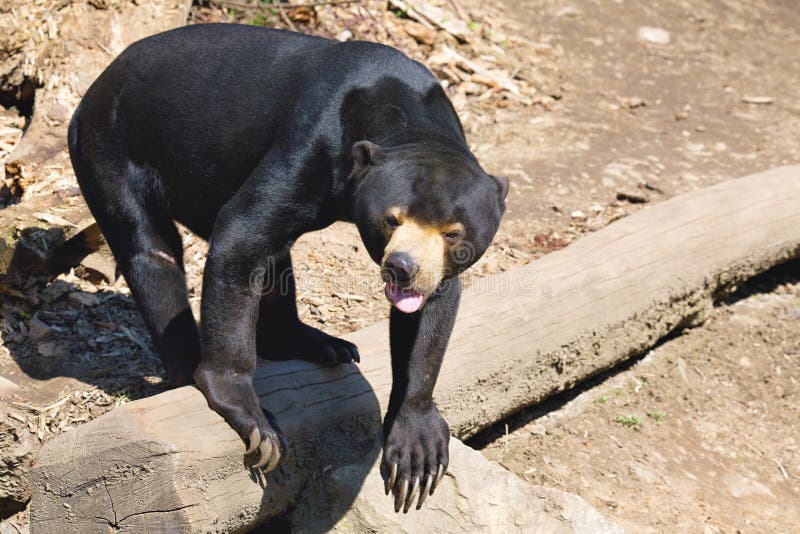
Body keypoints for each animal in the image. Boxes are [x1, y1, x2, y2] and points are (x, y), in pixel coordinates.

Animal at [68, 23, 507, 513]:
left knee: (274, 259)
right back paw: (186, 367)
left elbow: (431, 314)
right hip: (110, 148)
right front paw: (255, 422)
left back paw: (323, 344)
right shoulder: (311, 142)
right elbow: (240, 233)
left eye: (452, 233)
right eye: (391, 219)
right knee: (152, 251)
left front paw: (416, 455)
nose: (402, 268)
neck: (401, 112)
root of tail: (95, 87)